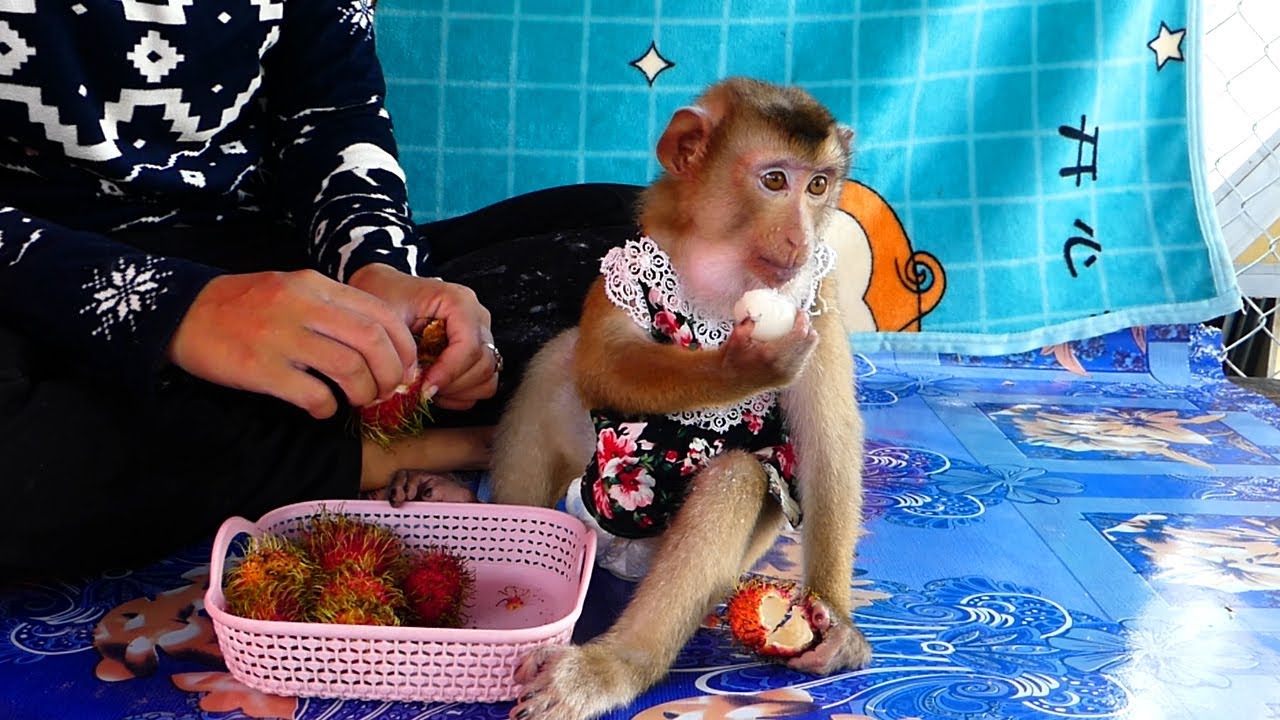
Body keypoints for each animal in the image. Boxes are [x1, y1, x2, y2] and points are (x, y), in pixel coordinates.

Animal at [486, 77, 871, 720]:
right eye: (774, 180)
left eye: (818, 185)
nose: (801, 236)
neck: (724, 263)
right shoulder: (633, 256)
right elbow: (601, 363)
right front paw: (742, 366)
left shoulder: (818, 291)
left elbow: (827, 440)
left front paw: (835, 619)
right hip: (586, 502)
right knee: (558, 367)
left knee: (737, 480)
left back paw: (616, 665)